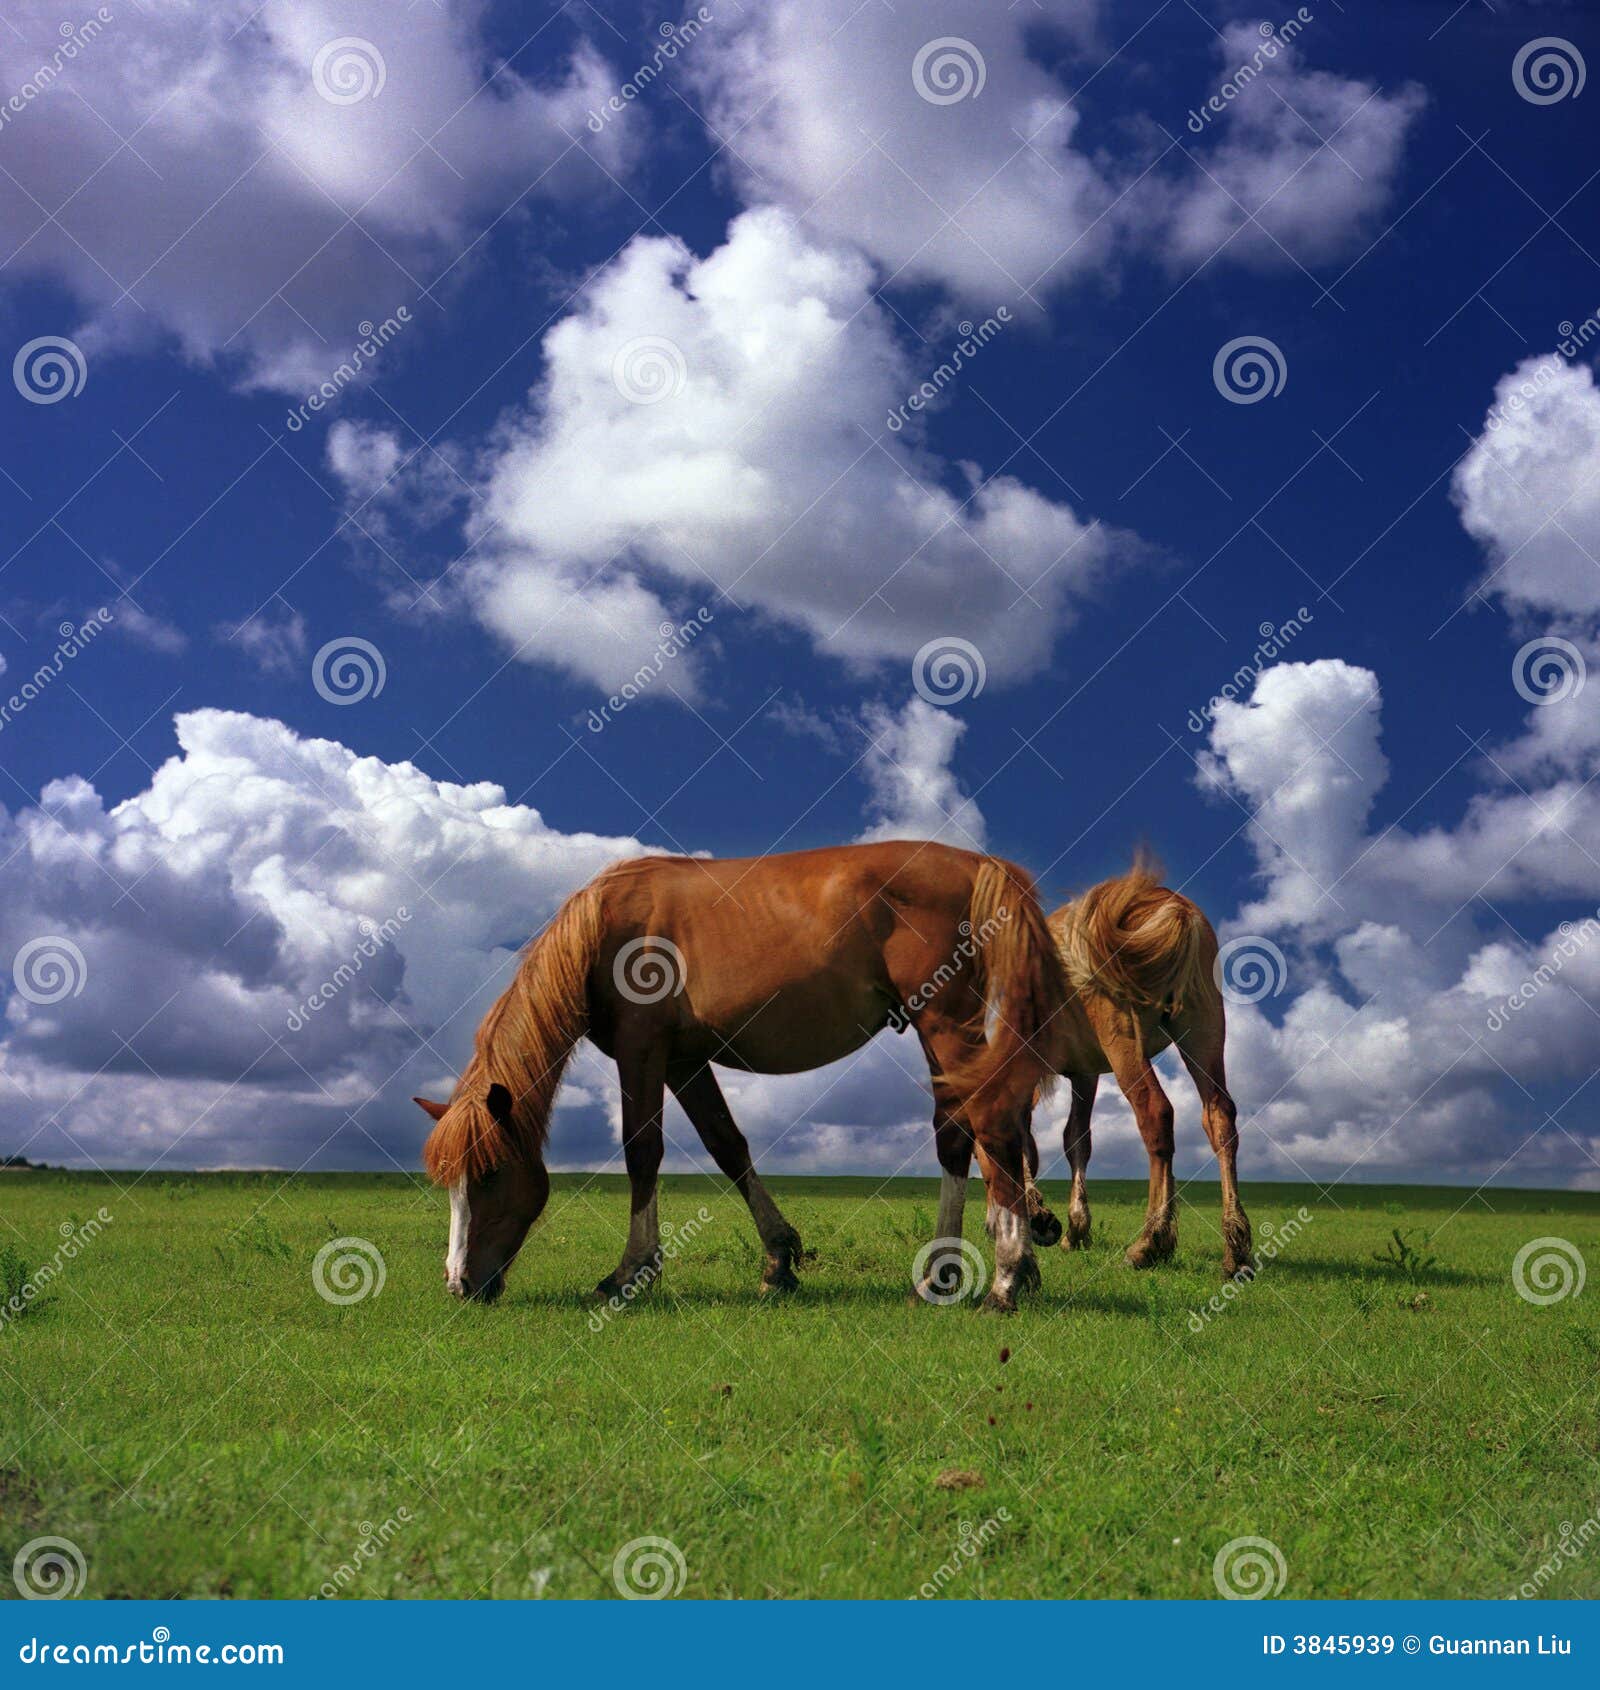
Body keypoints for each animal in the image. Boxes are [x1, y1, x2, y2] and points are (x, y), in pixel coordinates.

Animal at [414, 841, 1069, 1312]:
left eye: (489, 1174)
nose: (458, 1285)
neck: (606, 928)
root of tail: (978, 864)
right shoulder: (684, 1061)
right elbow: (727, 1146)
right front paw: (778, 1260)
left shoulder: (641, 1051)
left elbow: (641, 1151)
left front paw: (630, 1272)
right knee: (961, 1132)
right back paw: (950, 1272)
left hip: (945, 1022)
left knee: (992, 1126)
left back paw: (1003, 1278)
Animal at [1025, 856, 1254, 1280]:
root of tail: (1173, 906)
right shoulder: (1085, 1074)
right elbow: (1076, 1139)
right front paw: (1075, 1229)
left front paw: (1037, 1213)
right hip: (1205, 1033)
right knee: (1219, 1117)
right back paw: (1235, 1249)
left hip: (1123, 1038)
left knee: (1155, 1112)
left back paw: (1150, 1242)